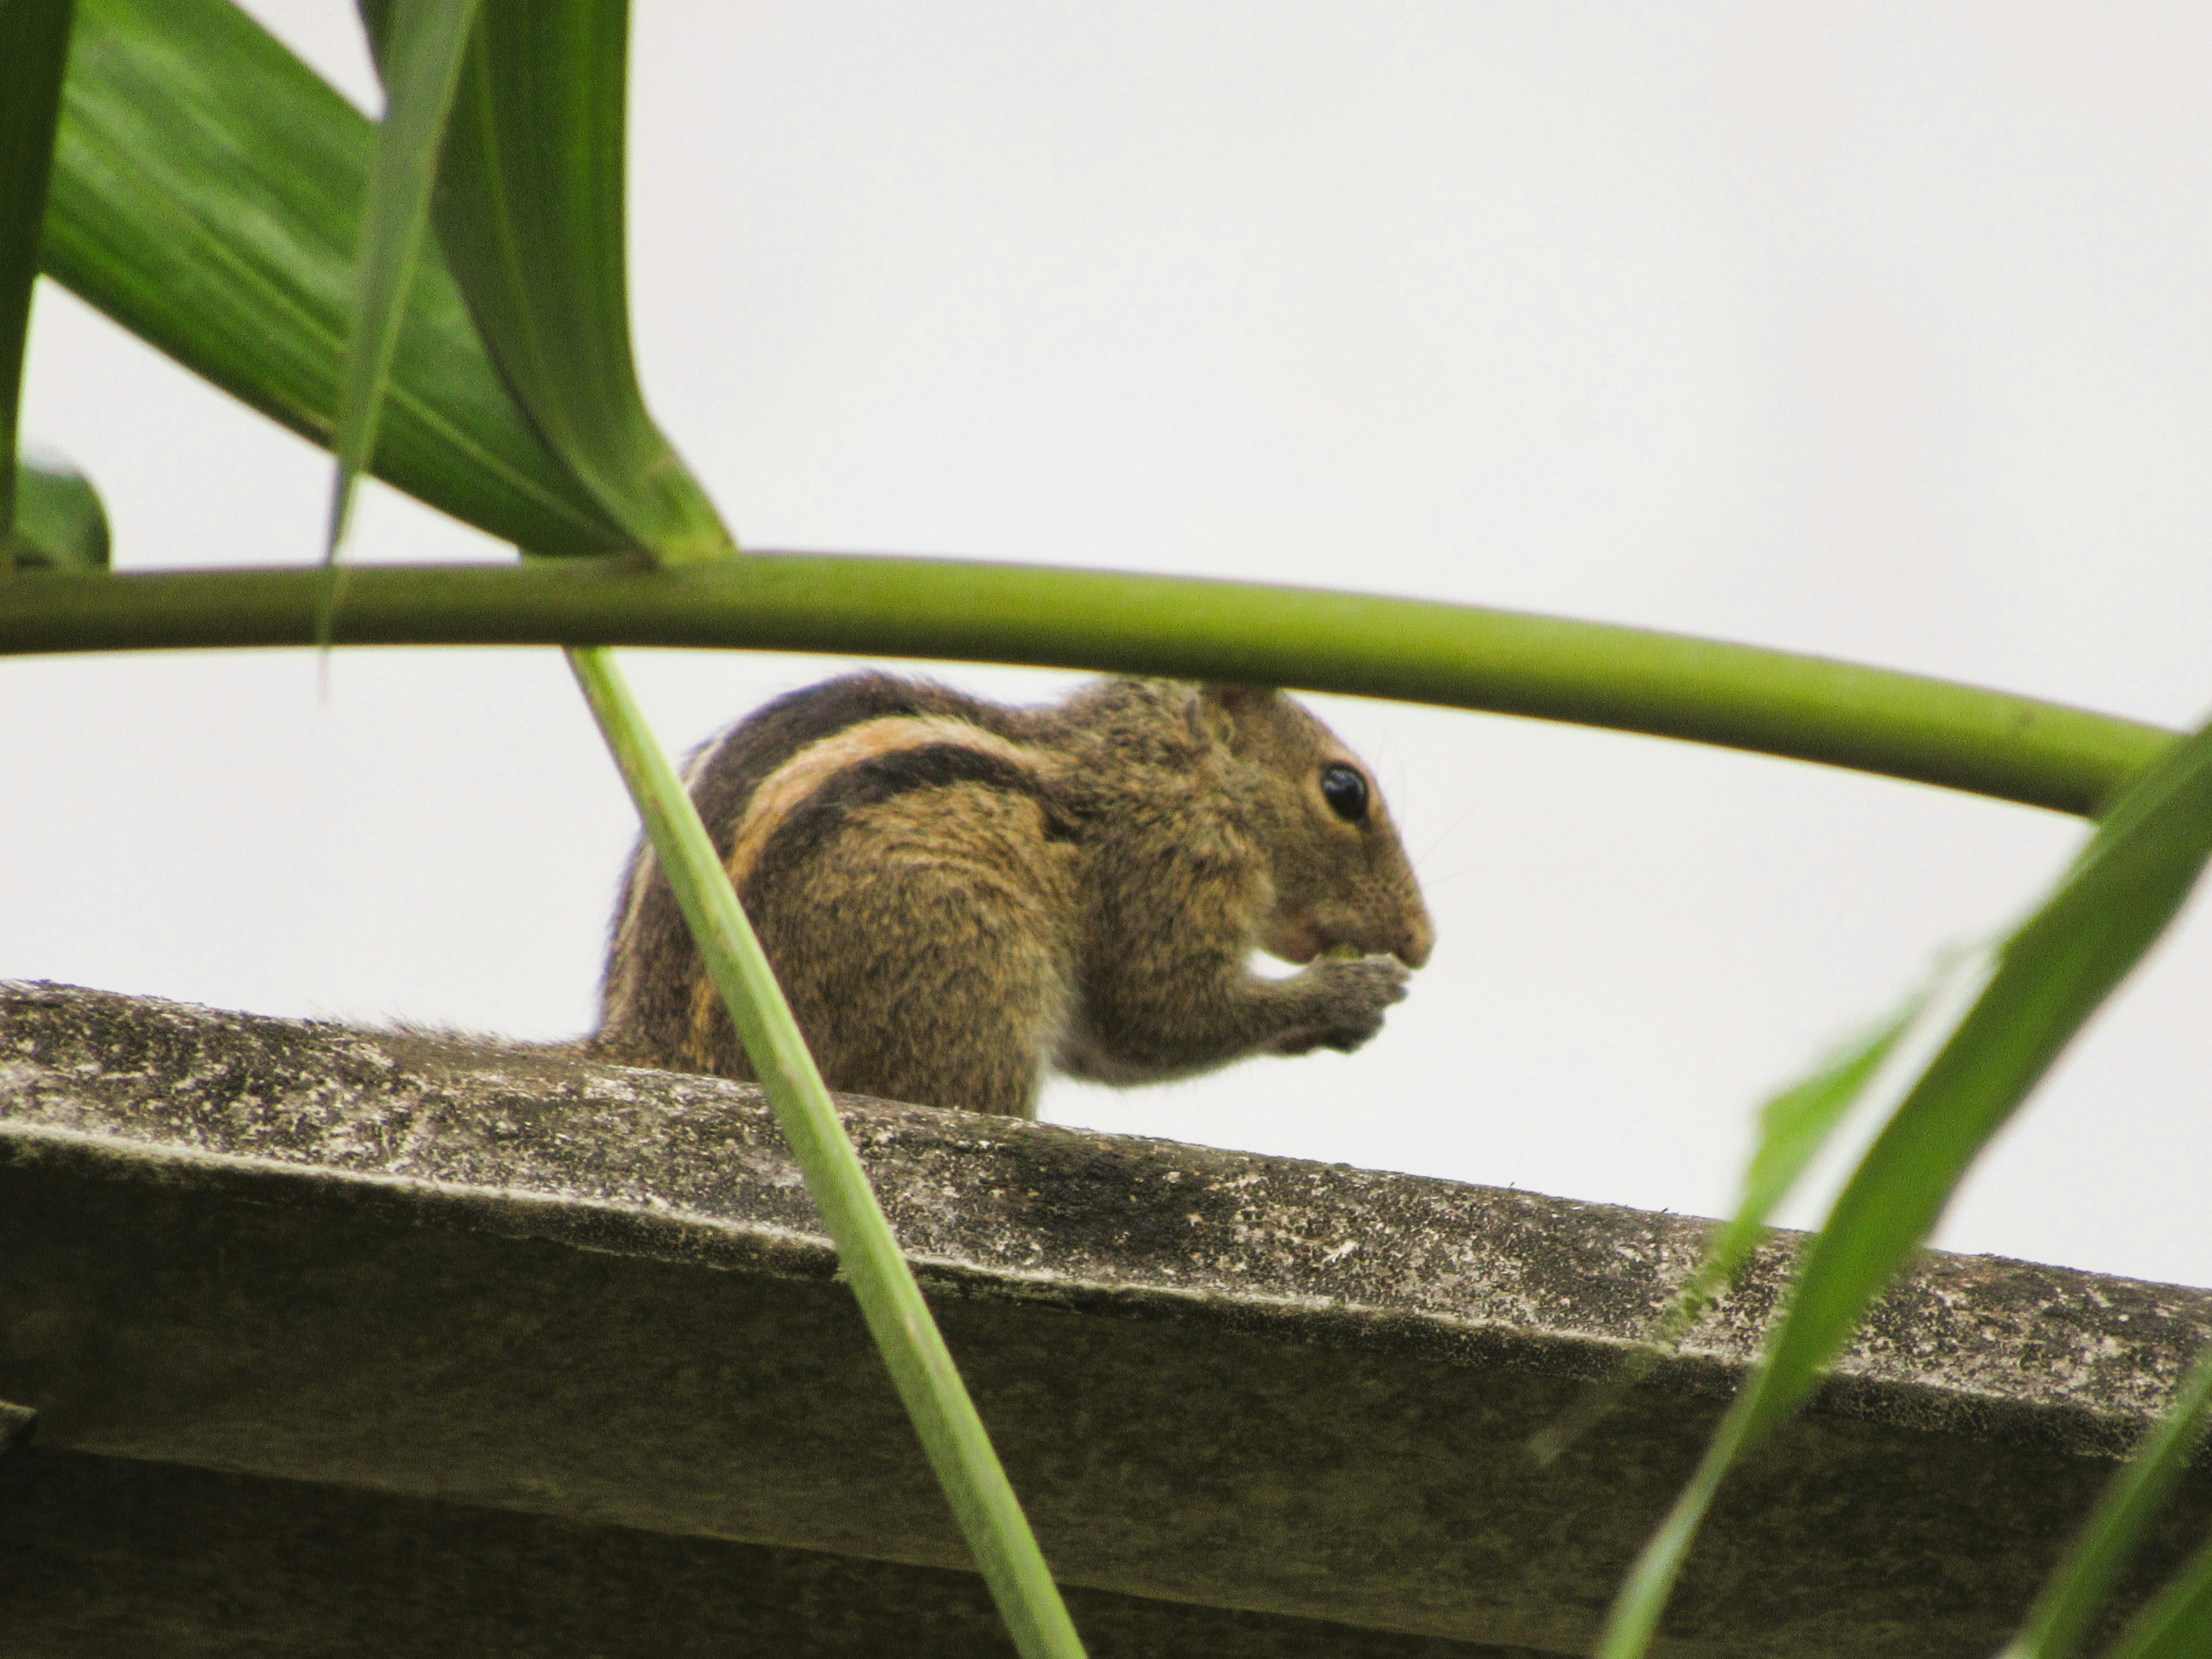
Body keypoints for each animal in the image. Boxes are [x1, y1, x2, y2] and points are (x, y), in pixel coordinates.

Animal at [589, 672, 1434, 1118]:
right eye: (1344, 790)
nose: (1423, 942)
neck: (1173, 774)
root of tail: (653, 1045)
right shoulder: (1165, 874)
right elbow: (1159, 1017)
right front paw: (1348, 993)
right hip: (965, 981)